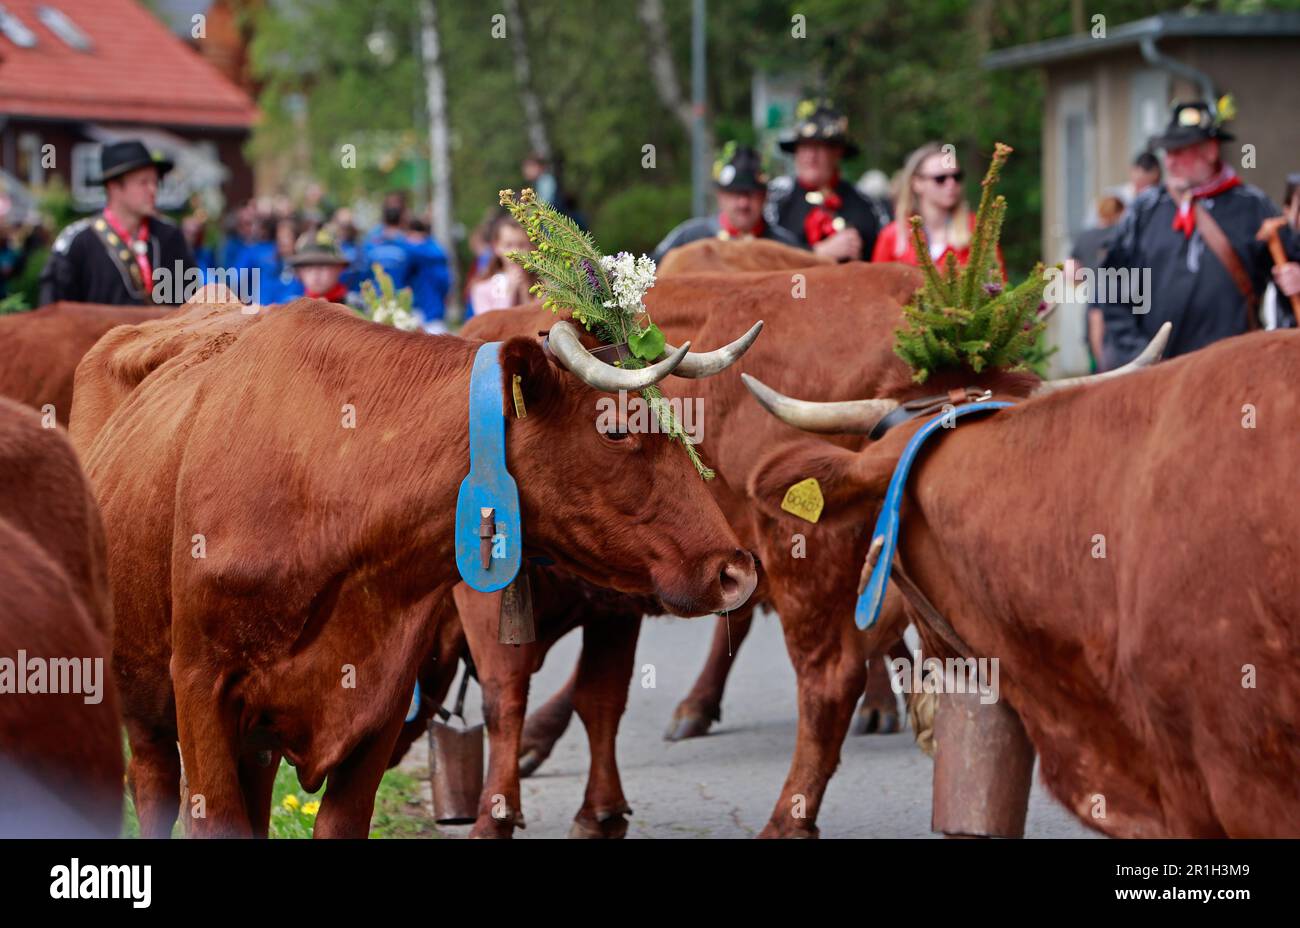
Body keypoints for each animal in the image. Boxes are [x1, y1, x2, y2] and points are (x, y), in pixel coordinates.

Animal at [70, 297, 758, 838]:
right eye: (615, 429)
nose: (736, 571)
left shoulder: (381, 699)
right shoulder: (201, 685)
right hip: (145, 703)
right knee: (152, 787)